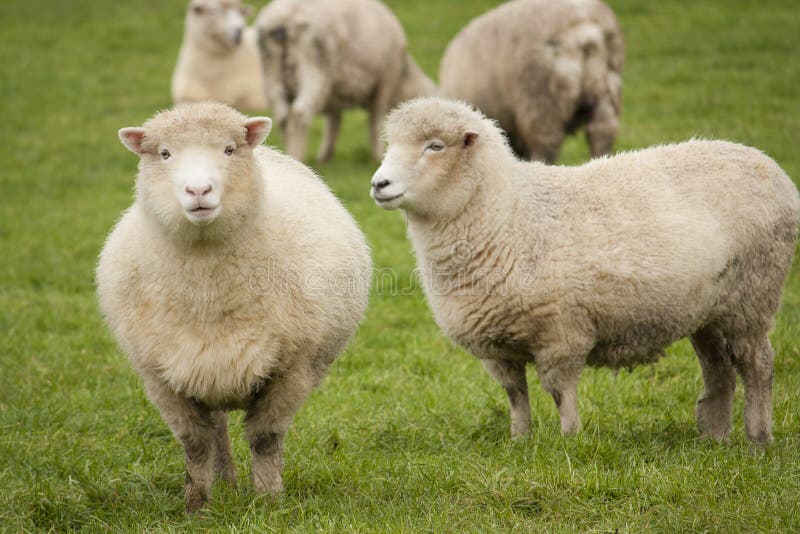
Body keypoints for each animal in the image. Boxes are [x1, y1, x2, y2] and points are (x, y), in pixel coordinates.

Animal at [97, 102, 371, 511]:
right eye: (165, 153)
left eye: (229, 150)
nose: (198, 189)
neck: (208, 291)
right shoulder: (161, 378)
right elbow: (195, 444)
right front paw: (197, 505)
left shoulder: (292, 370)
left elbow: (265, 439)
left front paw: (269, 500)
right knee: (217, 431)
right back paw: (224, 484)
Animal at [255, 0, 437, 163]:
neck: (404, 78)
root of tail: (284, 19)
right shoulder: (386, 80)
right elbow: (377, 120)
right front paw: (378, 155)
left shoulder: (334, 92)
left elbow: (333, 122)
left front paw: (325, 155)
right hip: (314, 64)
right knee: (300, 114)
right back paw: (297, 157)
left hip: (271, 69)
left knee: (282, 117)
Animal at [370, 97, 799, 447]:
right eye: (391, 145)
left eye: (435, 146)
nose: (378, 184)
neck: (508, 215)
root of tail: (769, 165)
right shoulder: (498, 347)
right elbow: (516, 395)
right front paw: (519, 440)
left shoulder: (562, 333)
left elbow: (561, 393)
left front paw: (569, 440)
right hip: (708, 309)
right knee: (719, 368)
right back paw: (714, 436)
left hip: (753, 295)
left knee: (757, 364)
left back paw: (757, 439)